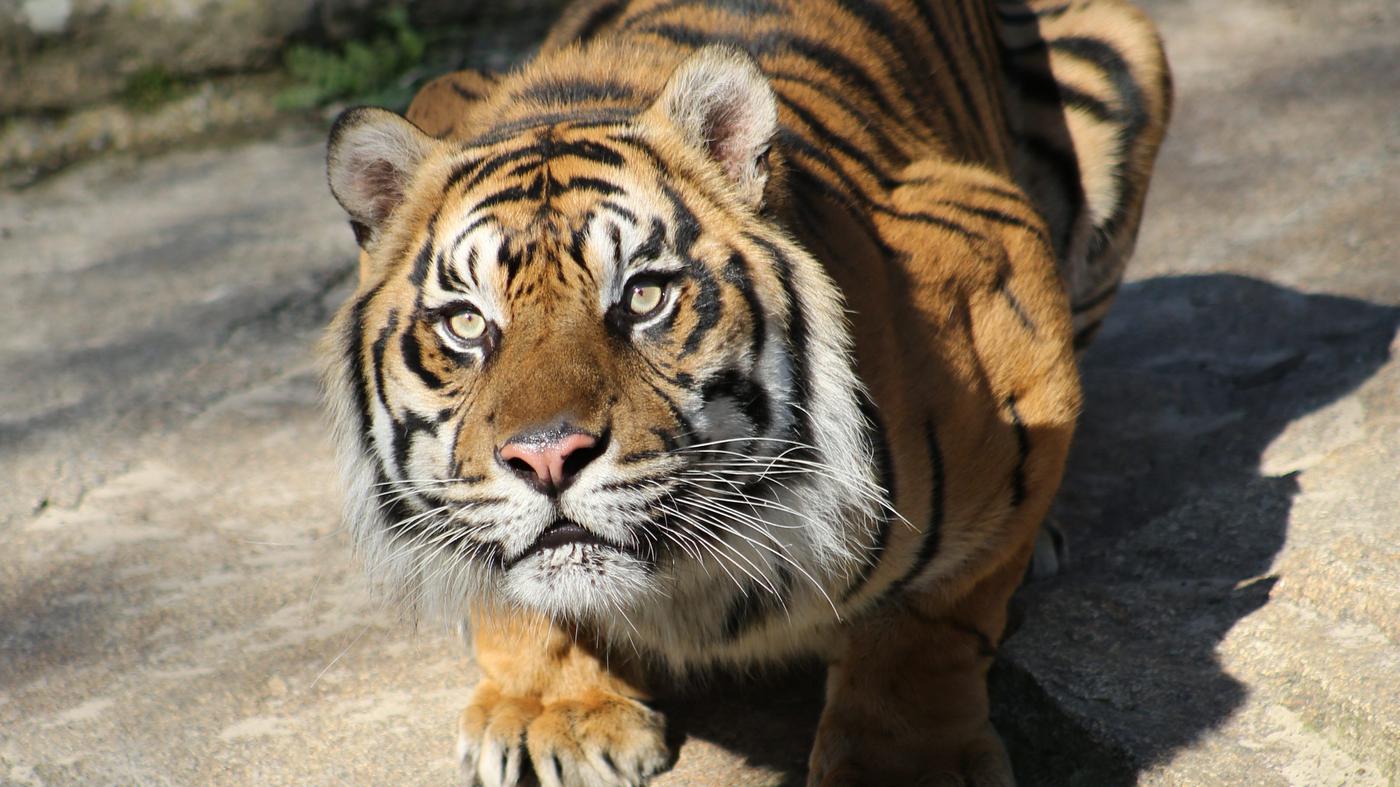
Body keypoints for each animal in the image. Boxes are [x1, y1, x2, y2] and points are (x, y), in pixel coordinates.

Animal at [319, 0, 1171, 784]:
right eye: (467, 321)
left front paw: (902, 764)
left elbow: (929, 616)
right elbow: (506, 575)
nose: (547, 458)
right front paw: (549, 714)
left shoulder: (1015, 321)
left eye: (643, 296)